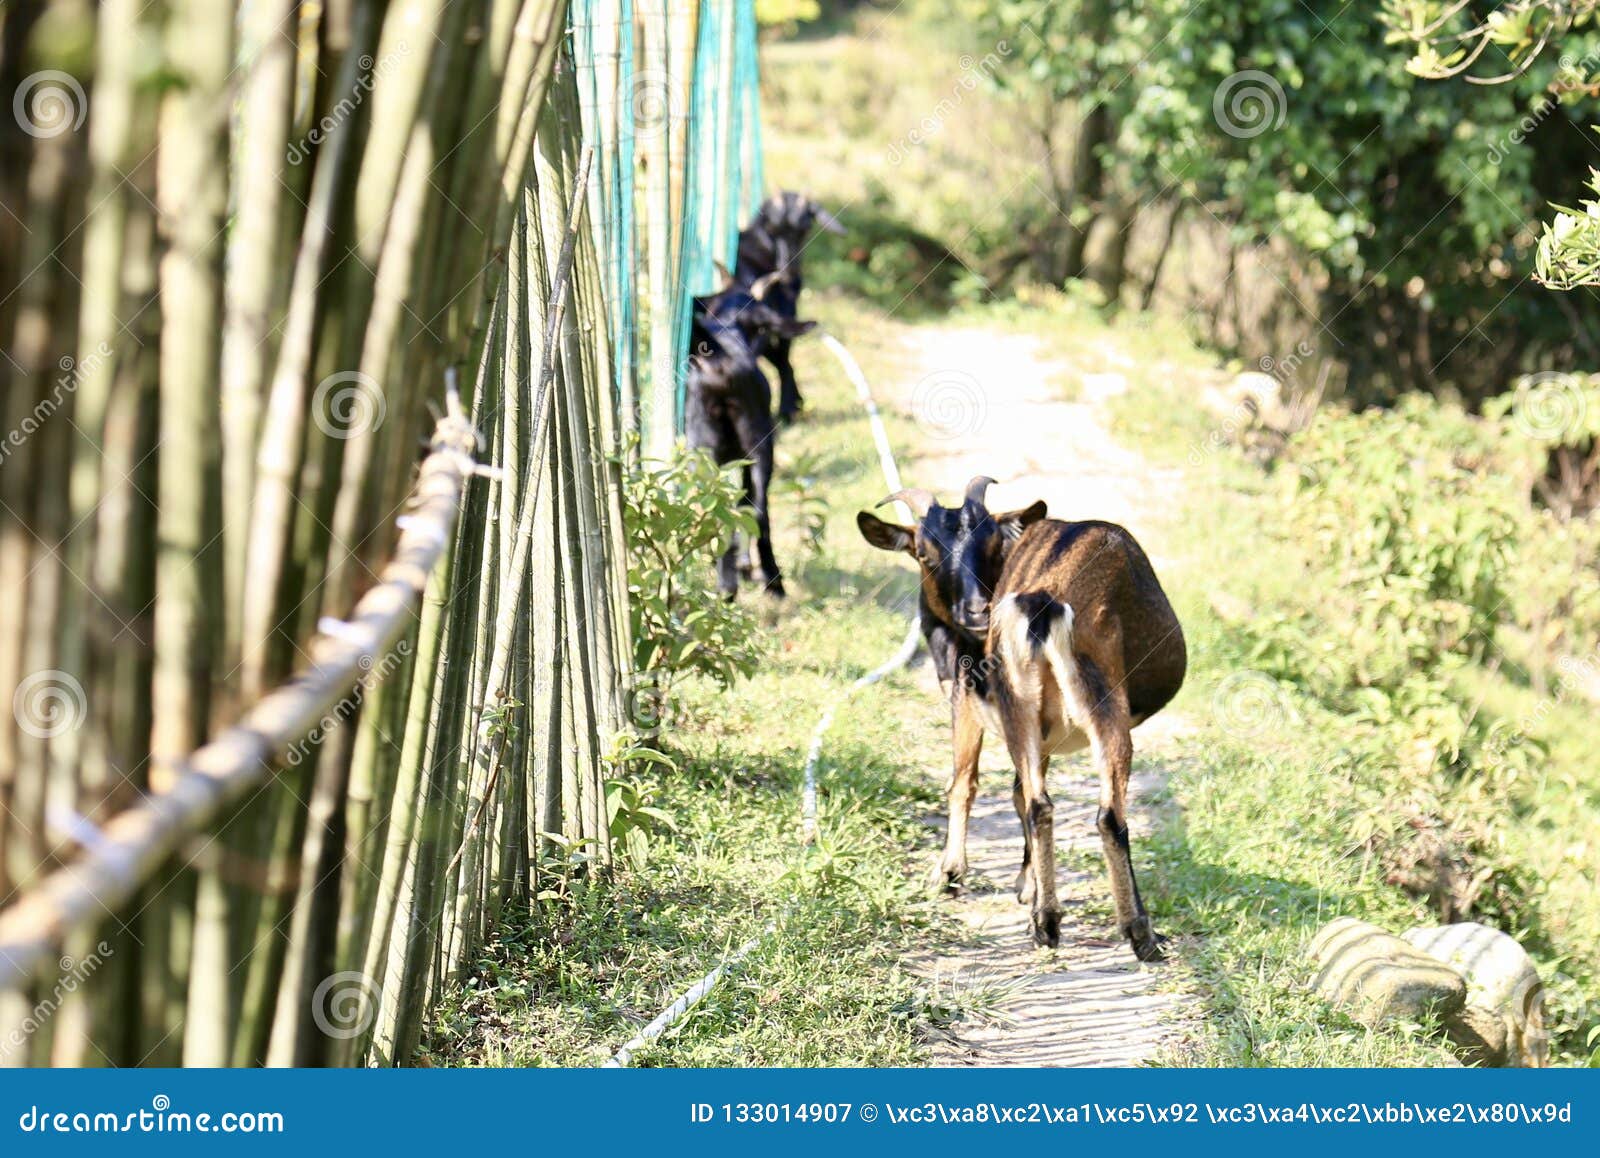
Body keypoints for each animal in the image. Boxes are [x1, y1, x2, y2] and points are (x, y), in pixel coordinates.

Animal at [686, 279, 816, 599]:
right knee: (759, 510)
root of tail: (722, 360)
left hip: (709, 450)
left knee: (724, 508)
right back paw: (771, 581)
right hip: (759, 447)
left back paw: (729, 584)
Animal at [857, 476, 1186, 959]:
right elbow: (1002, 788)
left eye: (993, 545)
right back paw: (1085, 926)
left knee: (1061, 806)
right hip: (1087, 700)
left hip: (1055, 700)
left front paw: (951, 873)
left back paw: (1101, 928)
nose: (976, 610)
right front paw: (1019, 885)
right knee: (1070, 807)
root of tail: (1044, 602)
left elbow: (966, 781)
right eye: (924, 552)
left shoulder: (969, 695)